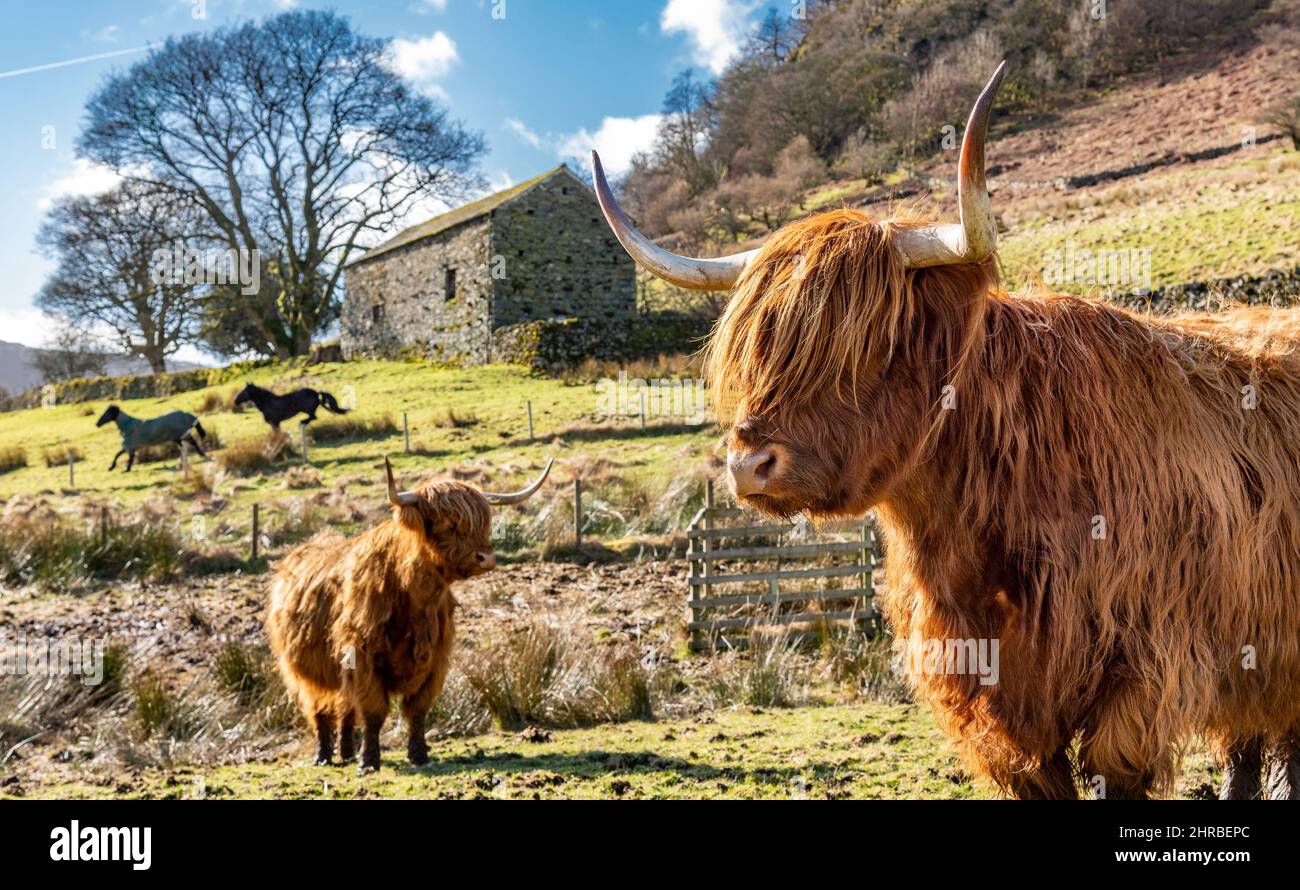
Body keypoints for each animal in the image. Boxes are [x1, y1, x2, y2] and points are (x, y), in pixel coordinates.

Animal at [266, 457, 552, 773]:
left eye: (485, 522)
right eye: (447, 522)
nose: (486, 558)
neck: (413, 596)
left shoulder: (434, 659)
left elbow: (417, 710)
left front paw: (419, 755)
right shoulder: (363, 658)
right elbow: (374, 712)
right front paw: (369, 761)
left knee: (345, 709)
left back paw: (347, 752)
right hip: (305, 669)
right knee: (320, 710)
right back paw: (324, 756)